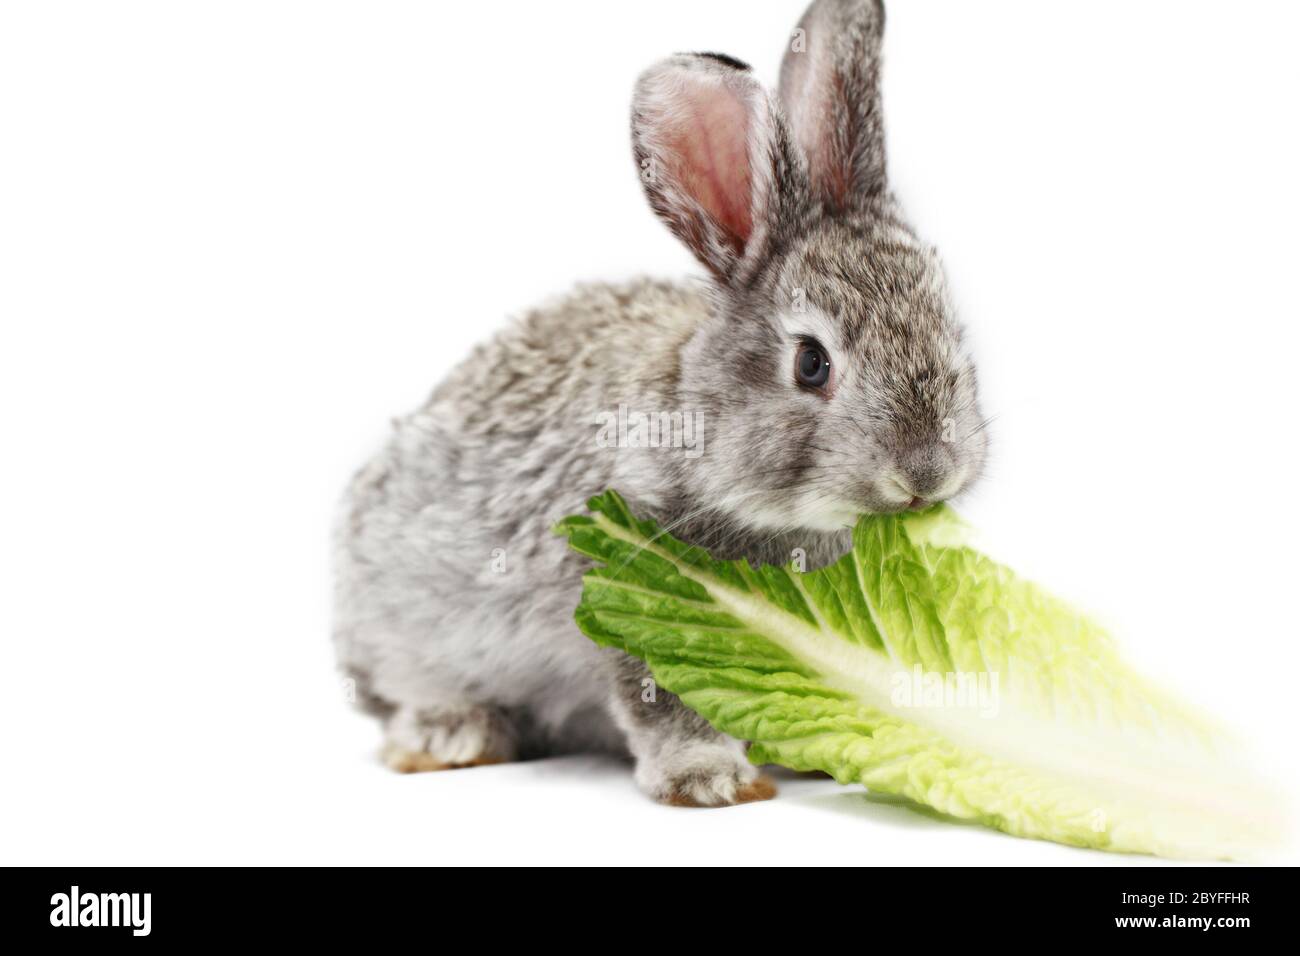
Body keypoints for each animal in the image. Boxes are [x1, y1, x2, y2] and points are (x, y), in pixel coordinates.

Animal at [332, 0, 988, 806]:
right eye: (811, 364)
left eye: (951, 328)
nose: (927, 473)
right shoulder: (628, 580)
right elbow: (666, 693)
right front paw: (706, 779)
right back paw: (449, 734)